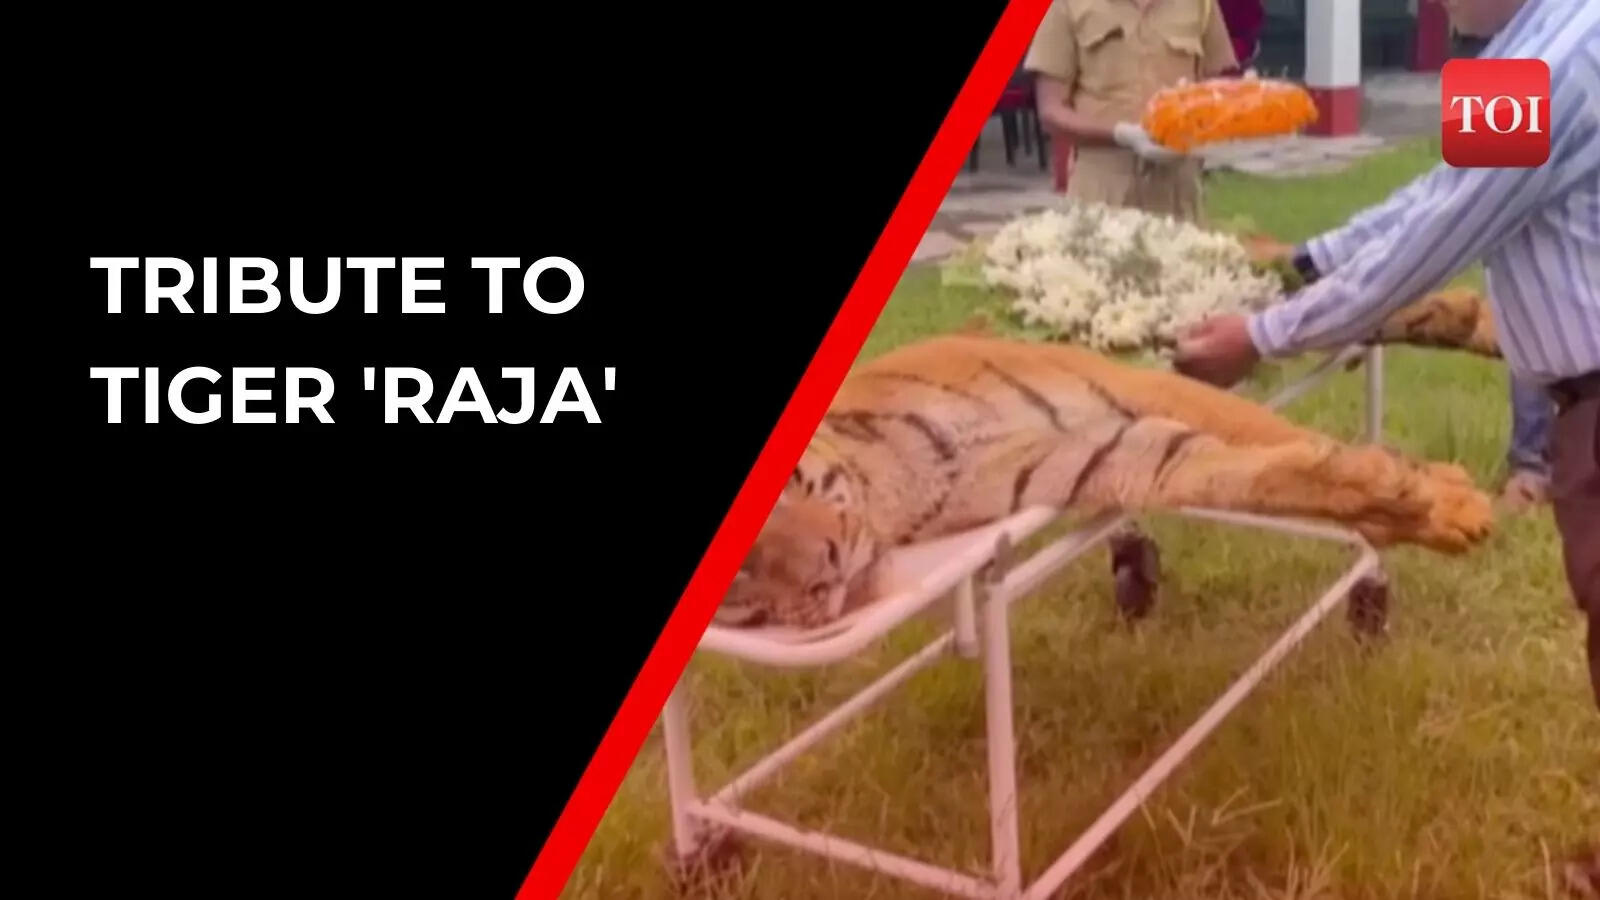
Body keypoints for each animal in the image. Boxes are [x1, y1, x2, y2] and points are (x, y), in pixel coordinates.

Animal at [716, 332, 1495, 630]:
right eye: (741, 586)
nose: (822, 575)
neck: (889, 488)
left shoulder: (1126, 388)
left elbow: (1269, 433)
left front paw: (1446, 497)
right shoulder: (1104, 451)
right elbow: (1254, 474)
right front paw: (1417, 503)